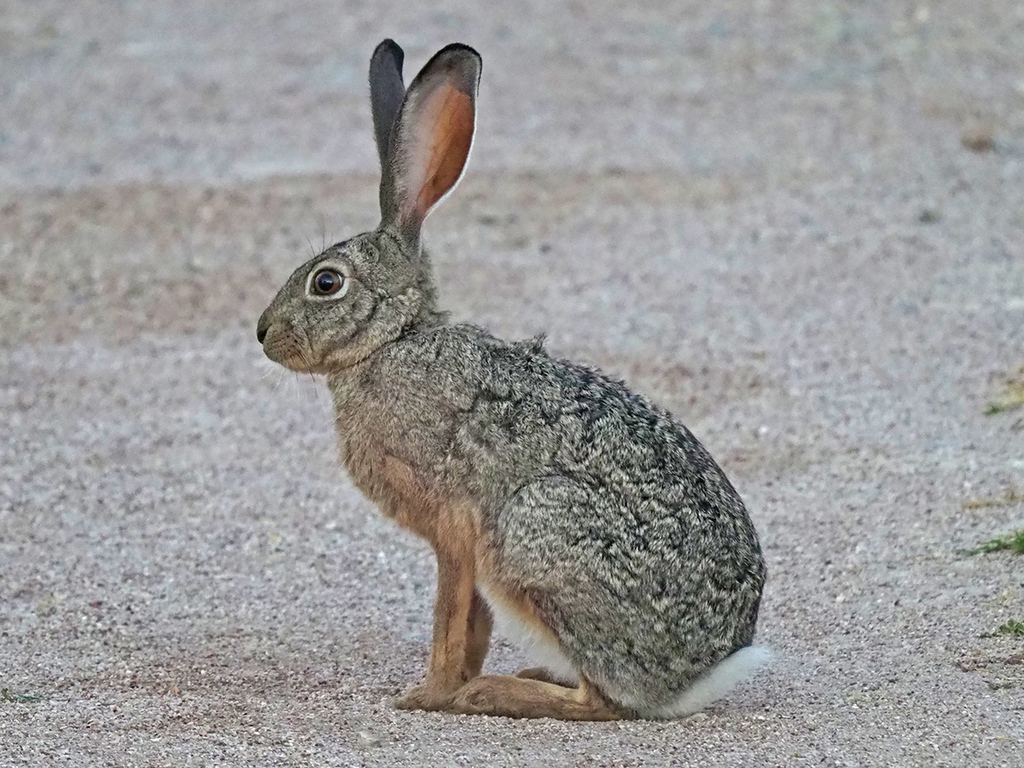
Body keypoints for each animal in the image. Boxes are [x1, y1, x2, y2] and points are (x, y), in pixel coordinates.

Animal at [256, 39, 768, 720]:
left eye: (326, 282)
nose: (262, 332)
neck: (393, 341)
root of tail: (690, 680)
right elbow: (471, 620)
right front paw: (444, 686)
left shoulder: (455, 524)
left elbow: (449, 615)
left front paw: (430, 695)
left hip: (535, 534)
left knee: (603, 701)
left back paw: (495, 692)